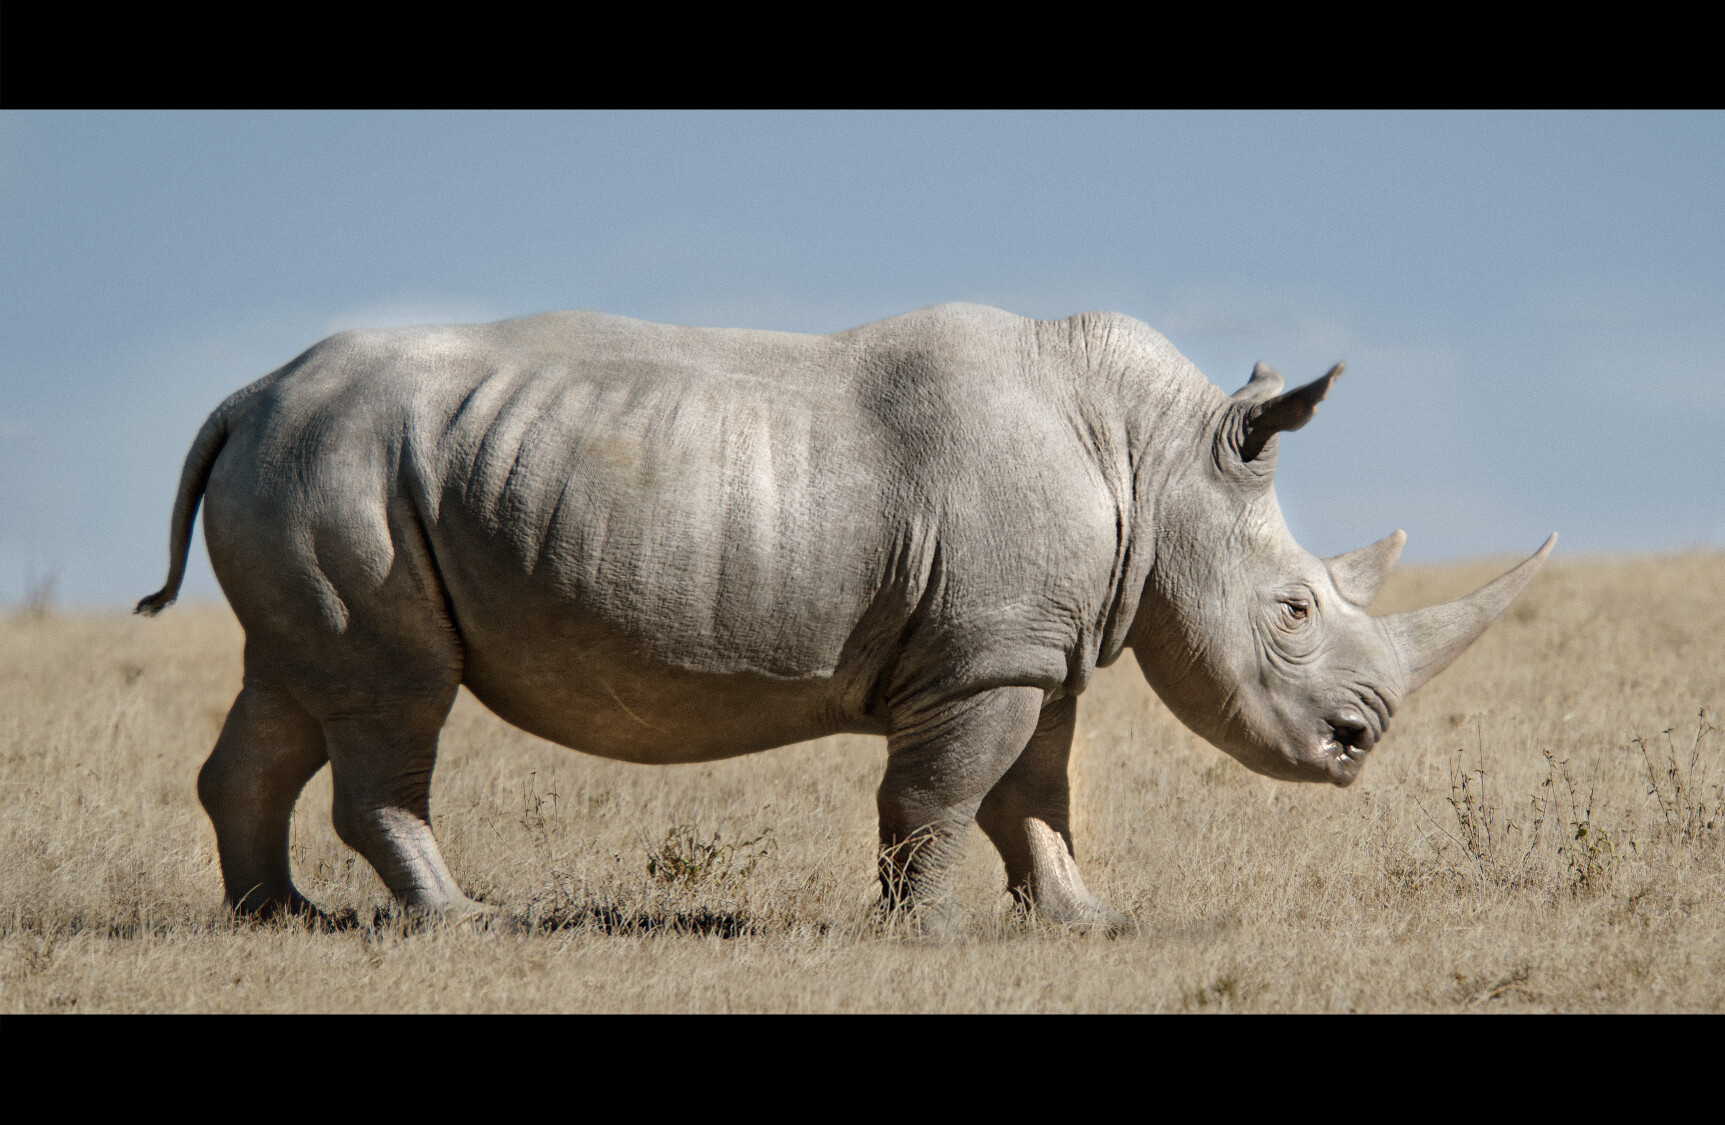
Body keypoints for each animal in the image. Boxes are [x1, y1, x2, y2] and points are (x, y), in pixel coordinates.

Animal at [138, 303, 1552, 934]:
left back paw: (279, 917)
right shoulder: (987, 656)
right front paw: (920, 935)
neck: (1150, 457)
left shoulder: (1031, 652)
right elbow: (943, 794)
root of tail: (244, 394)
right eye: (1295, 609)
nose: (1360, 743)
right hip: (340, 469)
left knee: (294, 686)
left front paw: (1080, 924)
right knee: (389, 693)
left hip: (316, 466)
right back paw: (466, 923)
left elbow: (1035, 796)